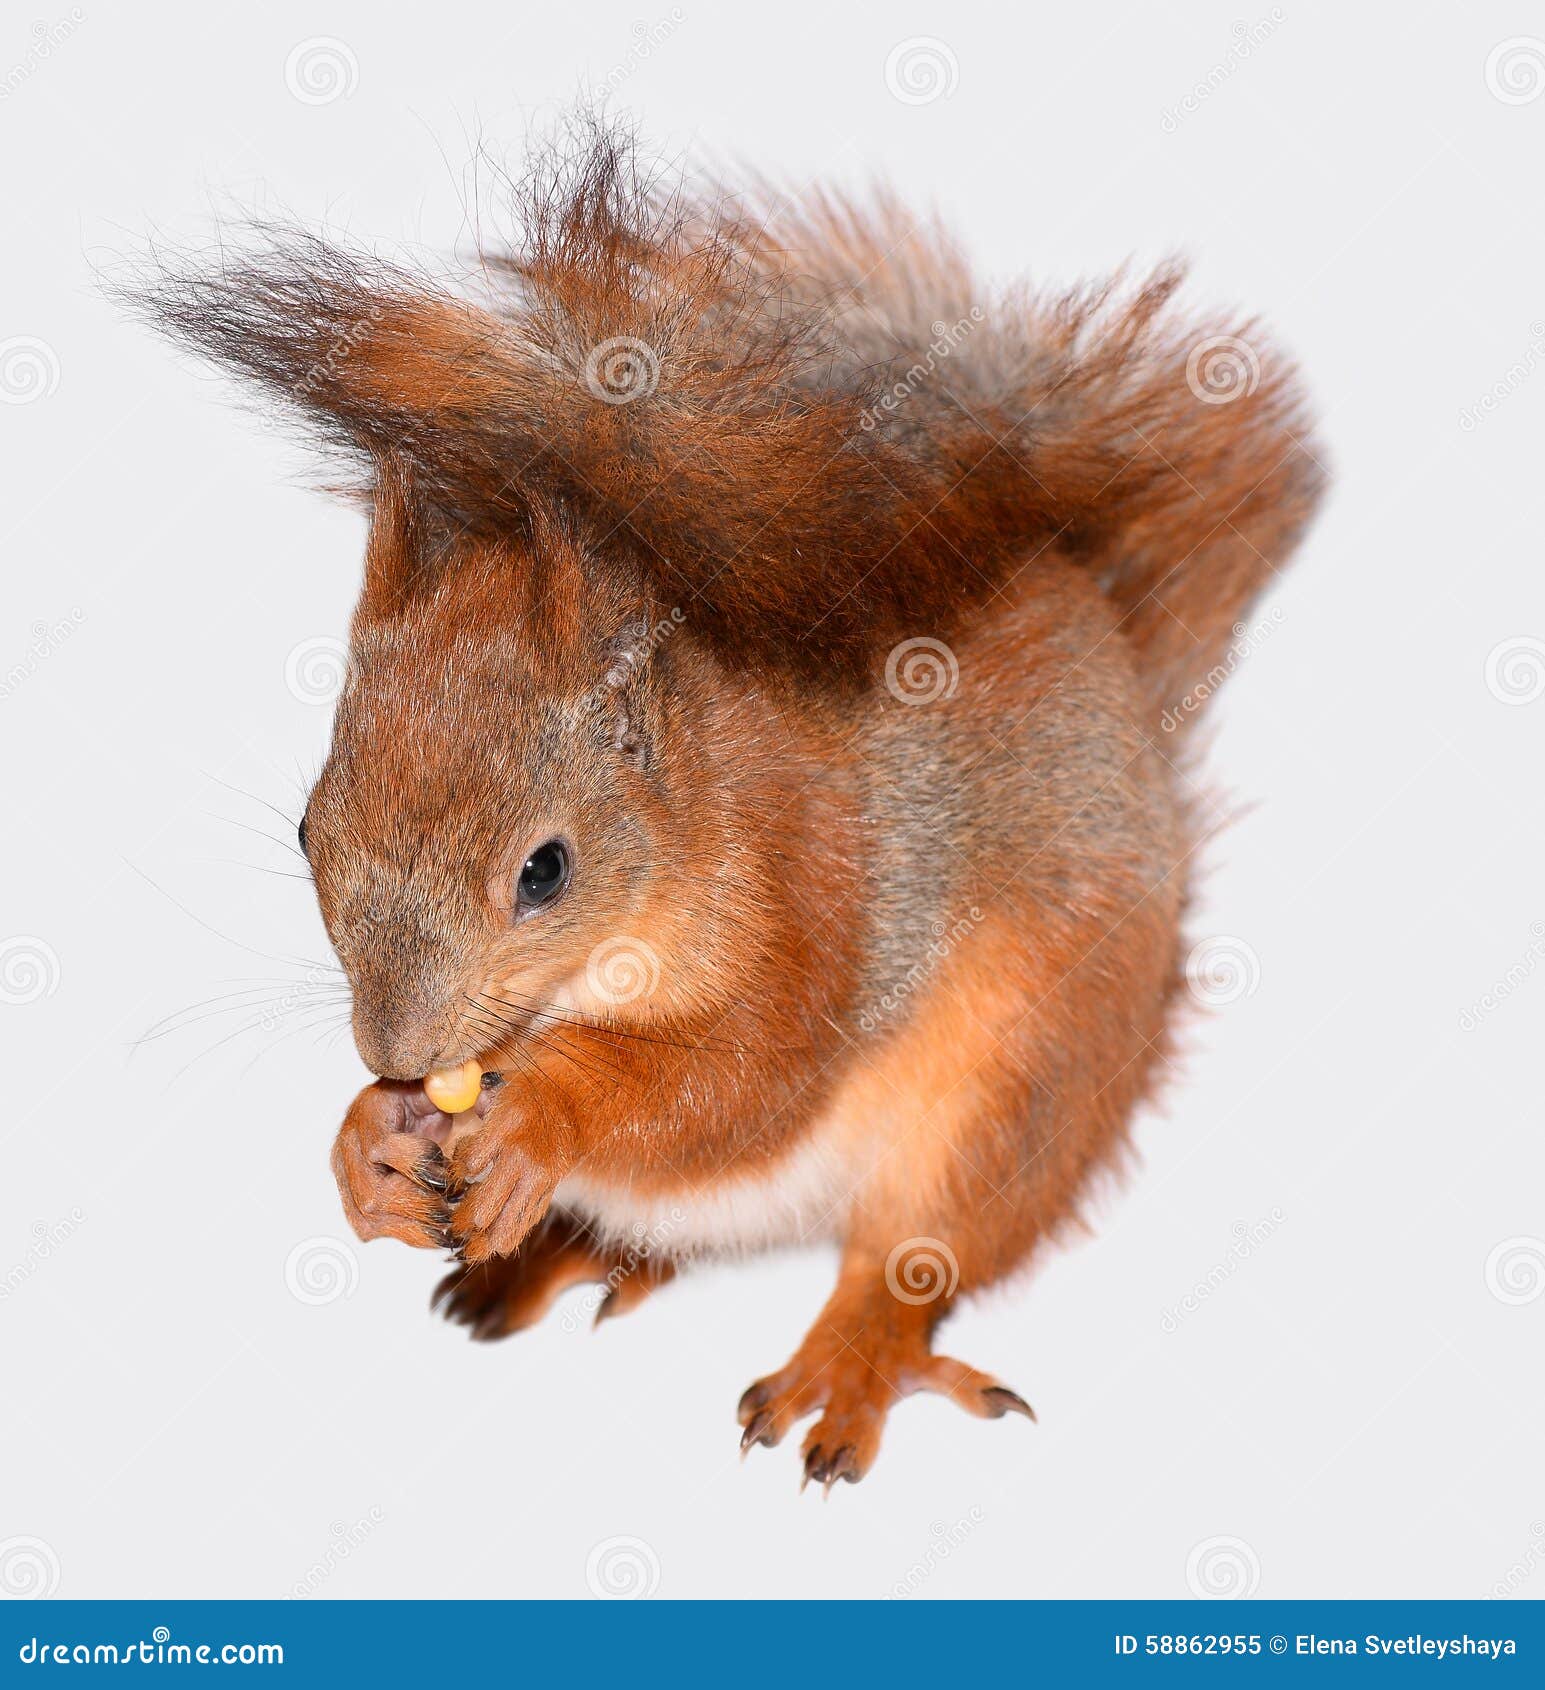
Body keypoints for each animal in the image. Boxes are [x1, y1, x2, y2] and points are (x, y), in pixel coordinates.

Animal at [127, 119, 1324, 1490]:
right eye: (309, 828)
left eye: (545, 869)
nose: (397, 1052)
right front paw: (367, 1140)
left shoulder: (816, 875)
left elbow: (747, 1071)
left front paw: (545, 1111)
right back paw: (556, 1255)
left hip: (1015, 1075)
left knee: (913, 1257)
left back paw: (844, 1362)